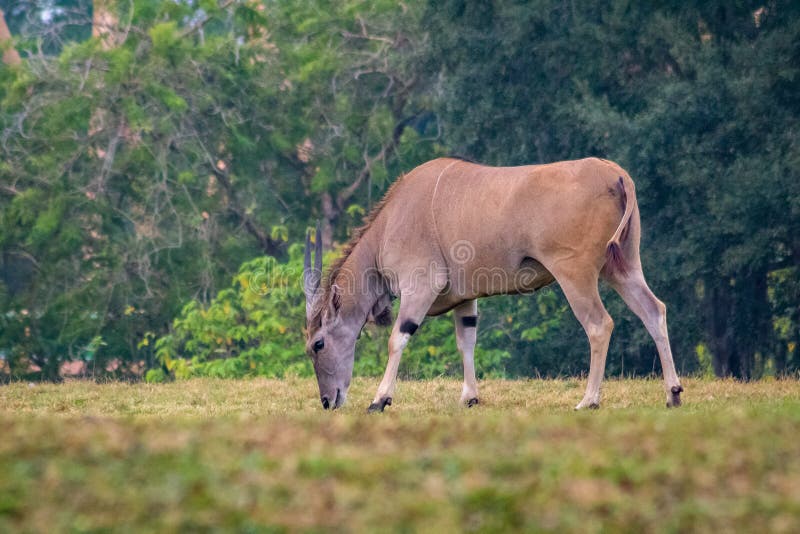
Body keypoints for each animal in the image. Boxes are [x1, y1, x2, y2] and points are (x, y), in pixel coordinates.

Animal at [303, 157, 683, 412]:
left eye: (317, 344)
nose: (328, 401)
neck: (390, 223)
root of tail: (615, 174)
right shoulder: (464, 299)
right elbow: (466, 340)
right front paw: (470, 397)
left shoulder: (420, 286)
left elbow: (398, 337)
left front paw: (379, 399)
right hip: (623, 267)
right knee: (654, 311)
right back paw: (673, 393)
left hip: (575, 274)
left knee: (599, 324)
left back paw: (588, 400)